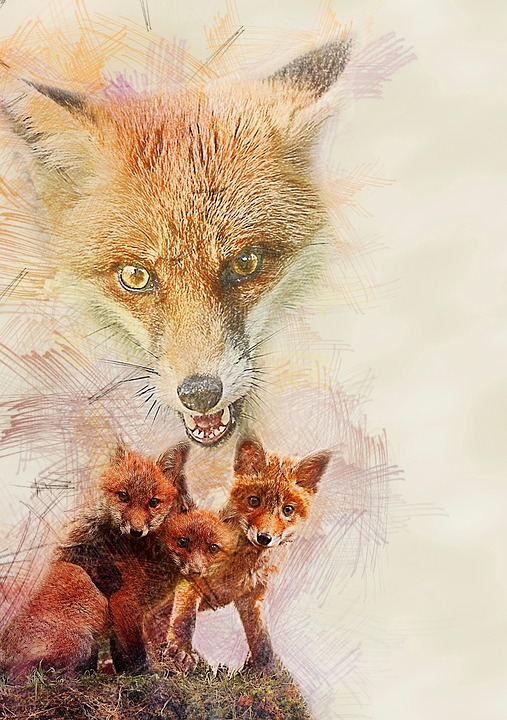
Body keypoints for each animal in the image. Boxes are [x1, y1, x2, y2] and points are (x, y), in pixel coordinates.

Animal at [161, 436, 331, 672]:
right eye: (254, 501)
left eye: (287, 510)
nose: (264, 538)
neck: (242, 566)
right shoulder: (191, 578)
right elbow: (185, 618)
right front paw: (181, 649)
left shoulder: (253, 597)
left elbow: (261, 638)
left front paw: (268, 669)